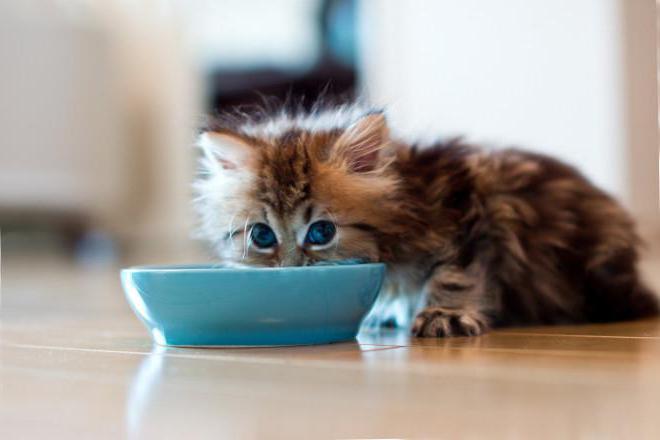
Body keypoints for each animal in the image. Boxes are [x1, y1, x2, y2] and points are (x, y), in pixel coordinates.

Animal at [193, 102, 656, 336]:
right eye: (262, 236)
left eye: (321, 232)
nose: (290, 271)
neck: (408, 201)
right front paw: (391, 307)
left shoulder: (473, 209)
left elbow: (454, 274)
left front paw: (444, 315)